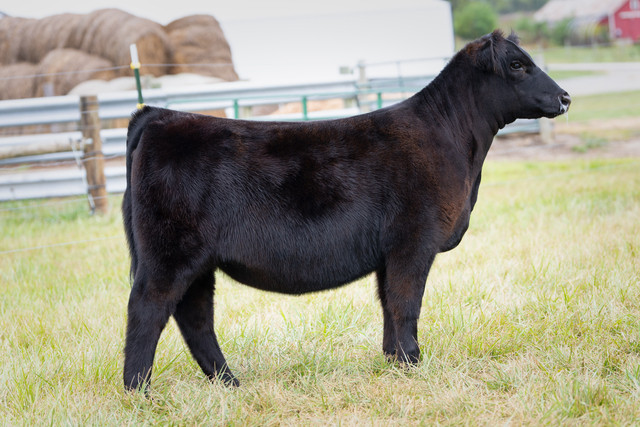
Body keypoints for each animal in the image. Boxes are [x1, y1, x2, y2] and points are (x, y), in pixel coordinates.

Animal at [122, 30, 570, 391]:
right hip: (169, 254)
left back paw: (228, 383)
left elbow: (389, 304)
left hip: (197, 263)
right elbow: (407, 303)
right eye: (517, 65)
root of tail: (157, 116)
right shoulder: (413, 241)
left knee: (195, 318)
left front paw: (395, 363)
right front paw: (414, 364)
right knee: (147, 309)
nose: (565, 97)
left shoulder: (389, 253)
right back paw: (138, 391)